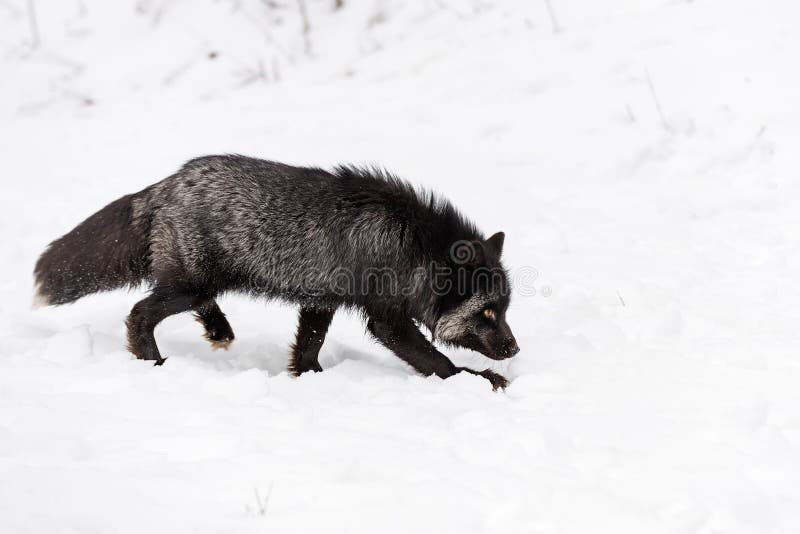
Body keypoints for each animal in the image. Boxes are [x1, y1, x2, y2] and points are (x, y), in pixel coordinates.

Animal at [34, 155, 519, 389]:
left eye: (504, 309)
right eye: (487, 312)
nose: (515, 349)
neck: (411, 244)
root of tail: (168, 183)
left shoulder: (322, 300)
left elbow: (307, 348)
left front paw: (310, 379)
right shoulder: (386, 319)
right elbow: (436, 362)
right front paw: (476, 380)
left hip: (199, 282)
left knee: (191, 304)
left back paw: (219, 330)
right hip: (190, 284)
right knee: (139, 313)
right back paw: (152, 361)